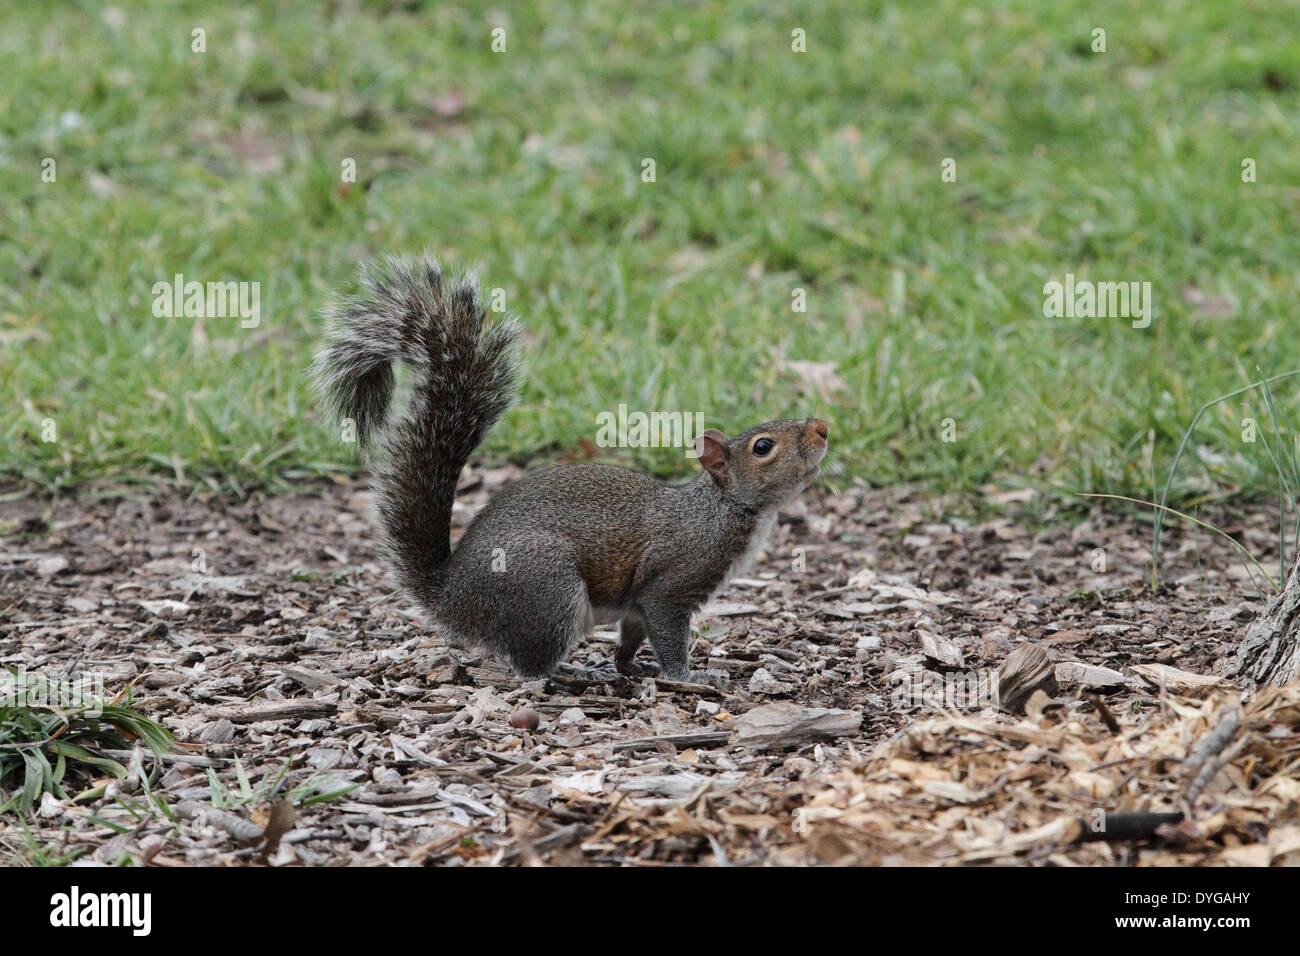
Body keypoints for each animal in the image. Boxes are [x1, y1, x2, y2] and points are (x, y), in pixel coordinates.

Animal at [313, 254, 829, 685]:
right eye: (763, 447)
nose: (823, 428)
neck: (722, 509)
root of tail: (452, 597)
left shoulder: (636, 607)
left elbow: (631, 635)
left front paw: (629, 665)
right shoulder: (671, 582)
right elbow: (667, 632)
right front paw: (689, 676)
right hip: (548, 584)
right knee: (530, 668)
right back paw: (574, 675)